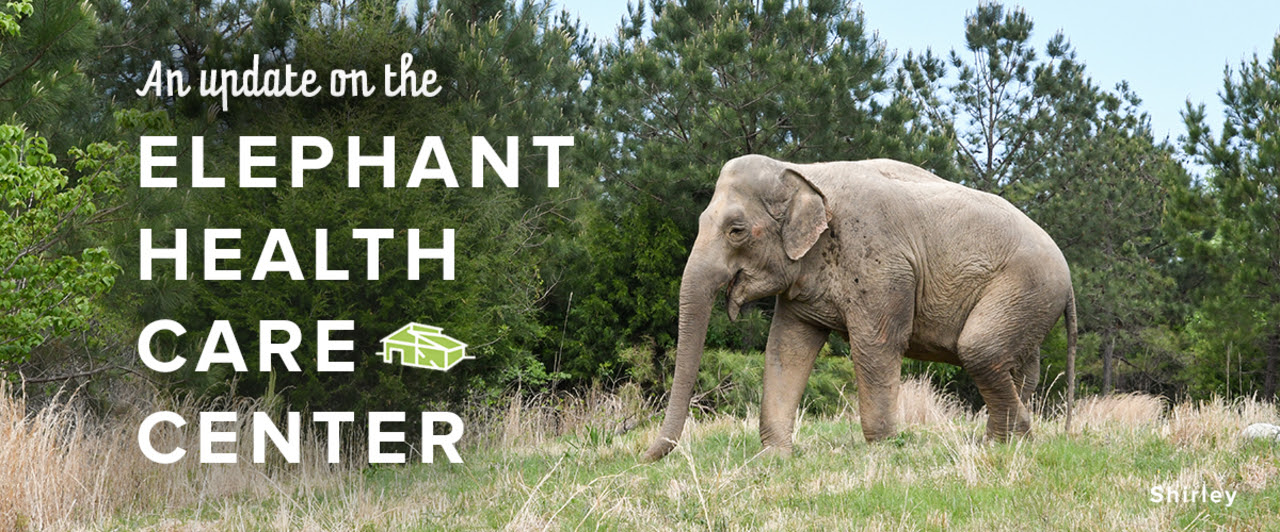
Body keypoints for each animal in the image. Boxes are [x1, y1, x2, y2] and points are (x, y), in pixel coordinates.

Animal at [642, 155, 1077, 462]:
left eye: (736, 231)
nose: (642, 458)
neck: (804, 173)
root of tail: (1068, 274)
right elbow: (786, 348)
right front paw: (773, 457)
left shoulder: (879, 266)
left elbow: (876, 346)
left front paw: (884, 451)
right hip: (1029, 301)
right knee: (1016, 364)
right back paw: (1006, 441)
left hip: (1025, 286)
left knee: (980, 349)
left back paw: (1011, 438)